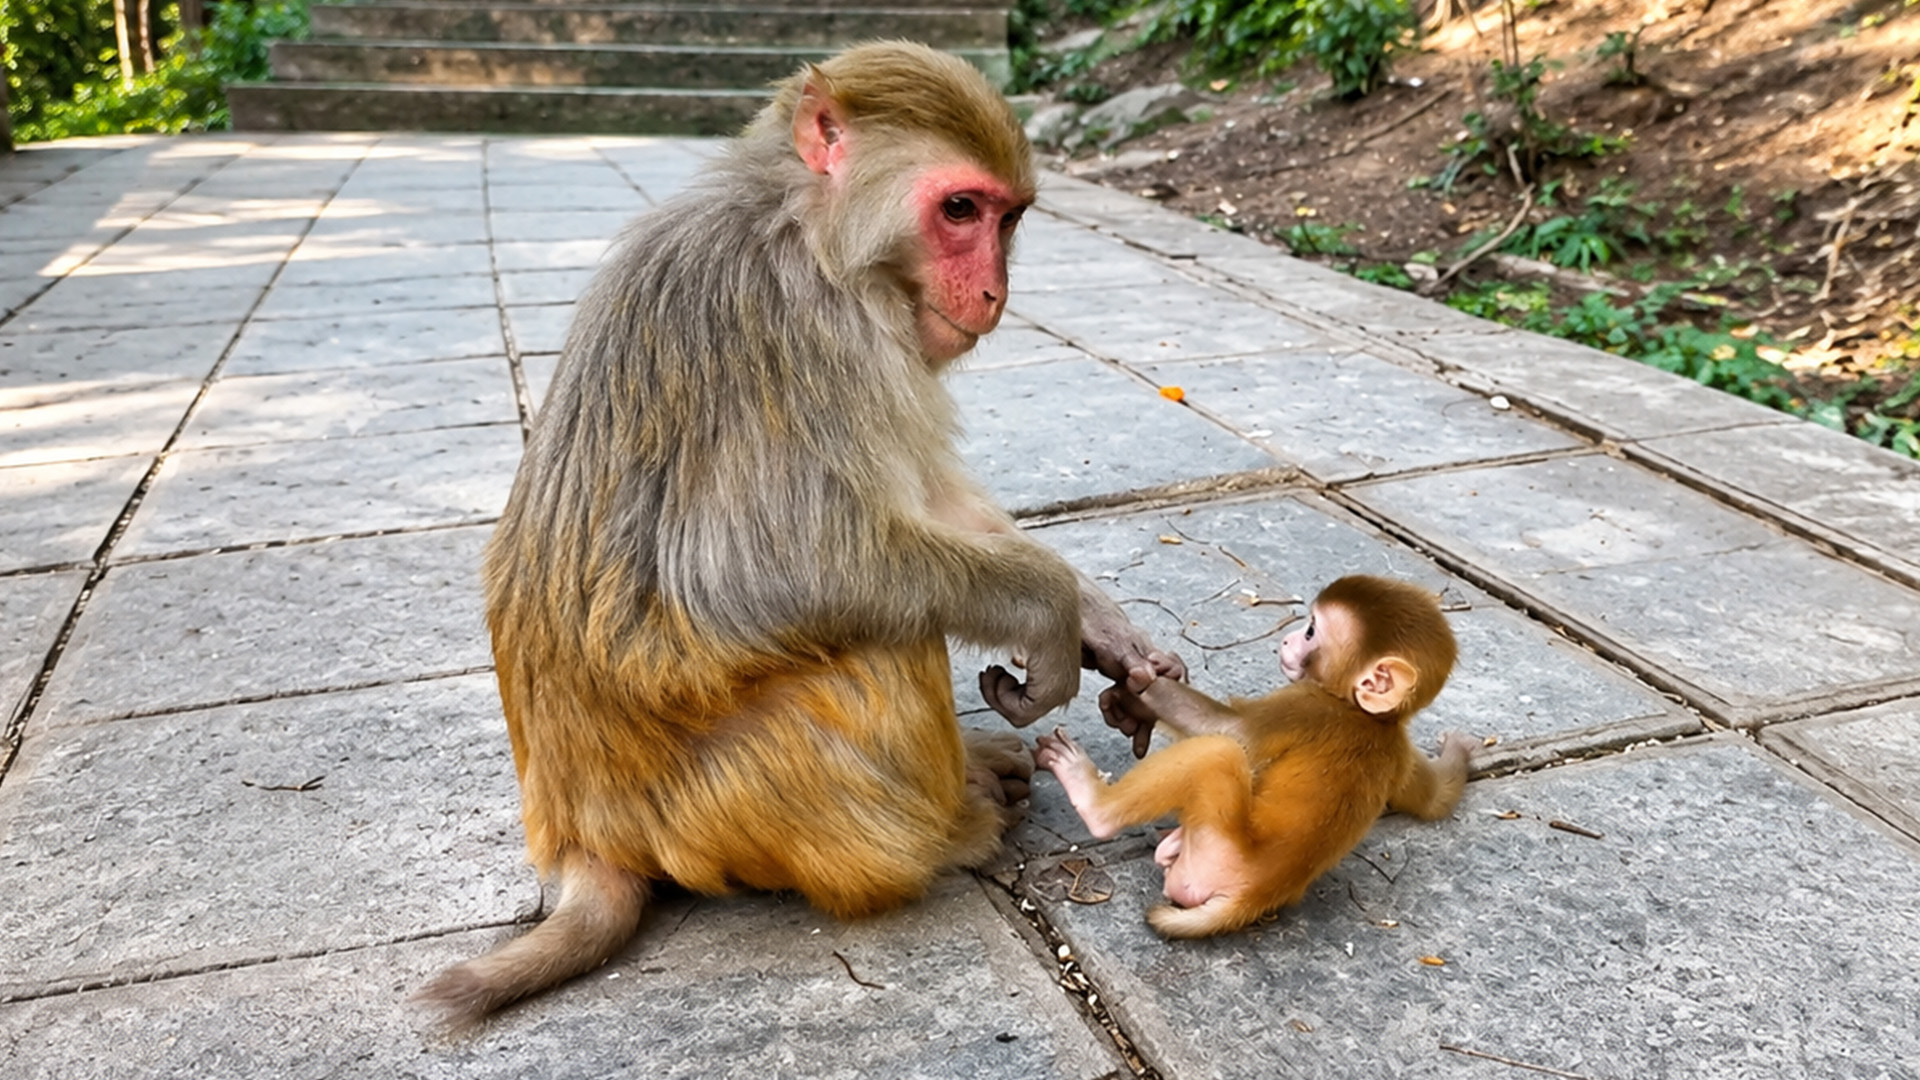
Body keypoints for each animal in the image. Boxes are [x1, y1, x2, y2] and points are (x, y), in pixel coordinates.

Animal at [416, 42, 1182, 1024]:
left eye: (1008, 216)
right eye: (959, 210)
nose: (995, 292)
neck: (810, 231)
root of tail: (588, 834)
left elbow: (923, 495)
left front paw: (1105, 627)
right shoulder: (800, 324)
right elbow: (766, 571)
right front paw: (1051, 612)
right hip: (730, 801)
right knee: (881, 637)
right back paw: (953, 830)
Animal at [1034, 574, 1477, 939]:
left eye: (1311, 630)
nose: (1287, 639)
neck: (1370, 717)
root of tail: (1252, 897)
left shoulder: (1307, 704)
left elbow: (1231, 731)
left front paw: (1143, 682)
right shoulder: (1401, 749)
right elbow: (1435, 798)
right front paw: (1459, 751)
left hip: (1212, 850)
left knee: (1217, 752)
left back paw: (1095, 803)